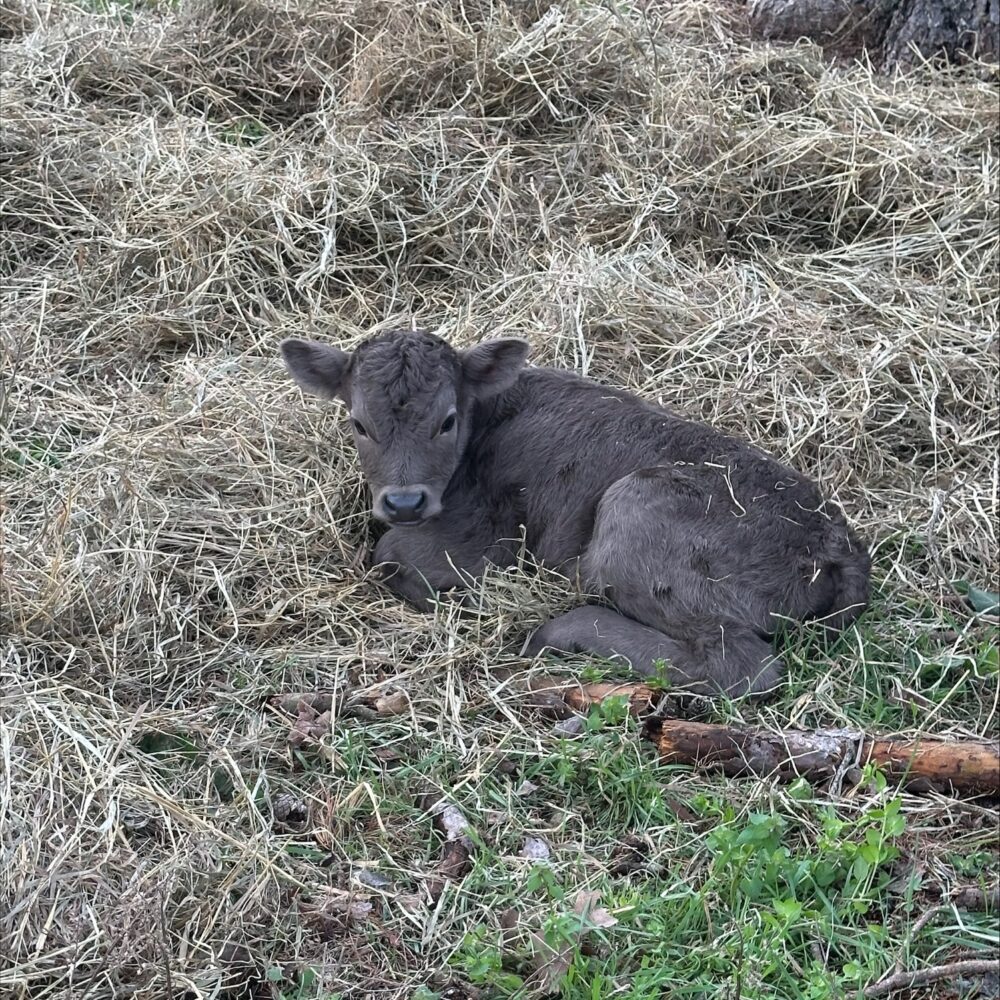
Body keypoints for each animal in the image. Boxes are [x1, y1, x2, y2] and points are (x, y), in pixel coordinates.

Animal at [280, 328, 871, 697]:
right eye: (358, 423)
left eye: (446, 420)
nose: (404, 501)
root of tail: (836, 539)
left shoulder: (490, 539)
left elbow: (390, 555)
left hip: (634, 520)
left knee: (744, 666)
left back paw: (561, 629)